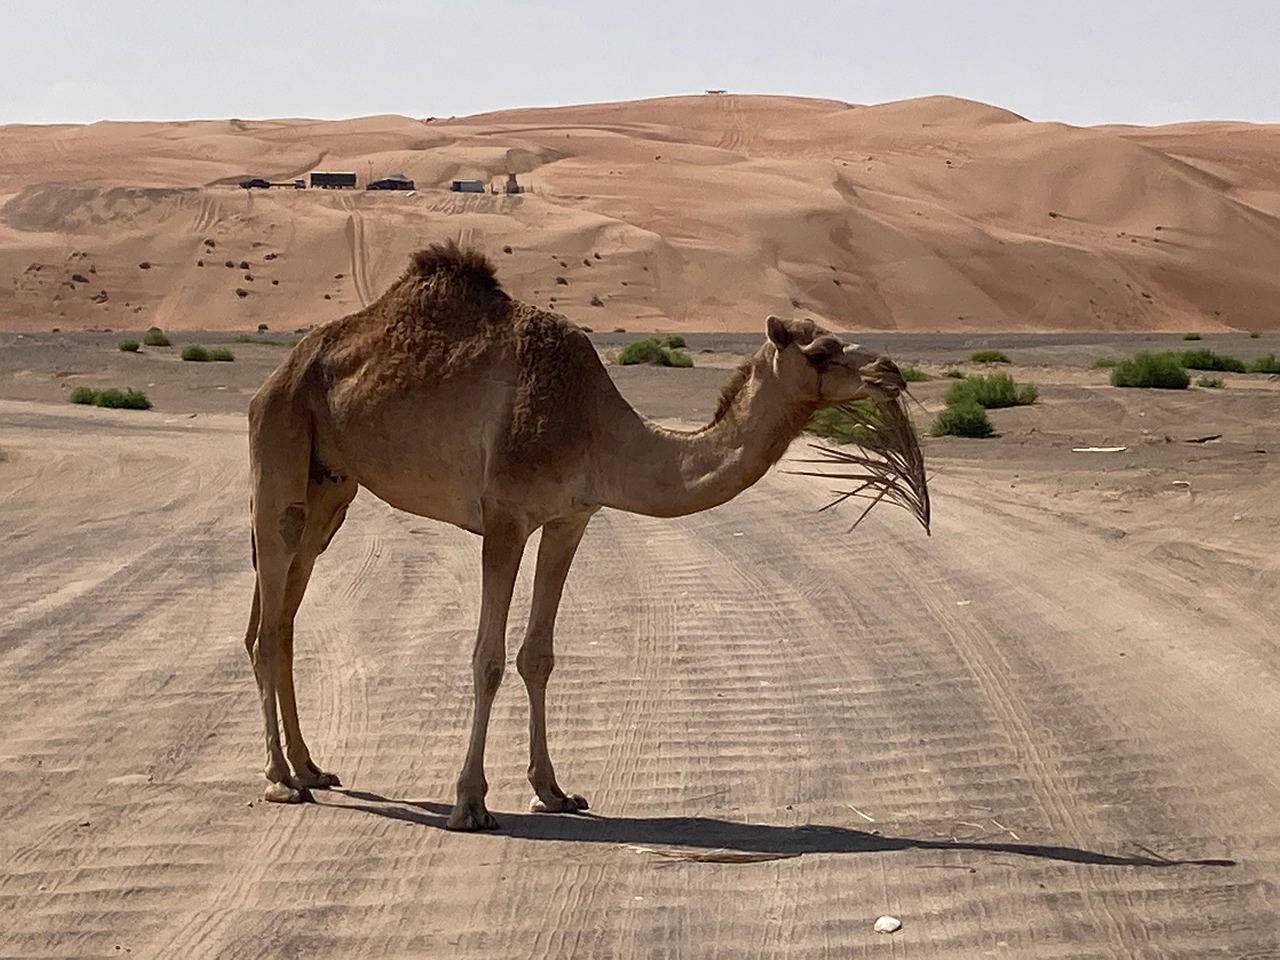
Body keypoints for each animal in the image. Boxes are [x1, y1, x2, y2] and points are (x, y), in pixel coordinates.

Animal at [244, 241, 908, 830]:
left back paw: (310, 768)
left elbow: (537, 655)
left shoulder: (571, 518)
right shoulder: (505, 516)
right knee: (268, 619)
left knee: (281, 618)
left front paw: (554, 791)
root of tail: (275, 376)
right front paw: (470, 802)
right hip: (280, 445)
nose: (891, 370)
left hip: (333, 487)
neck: (592, 425)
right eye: (820, 350)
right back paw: (279, 779)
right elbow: (487, 658)